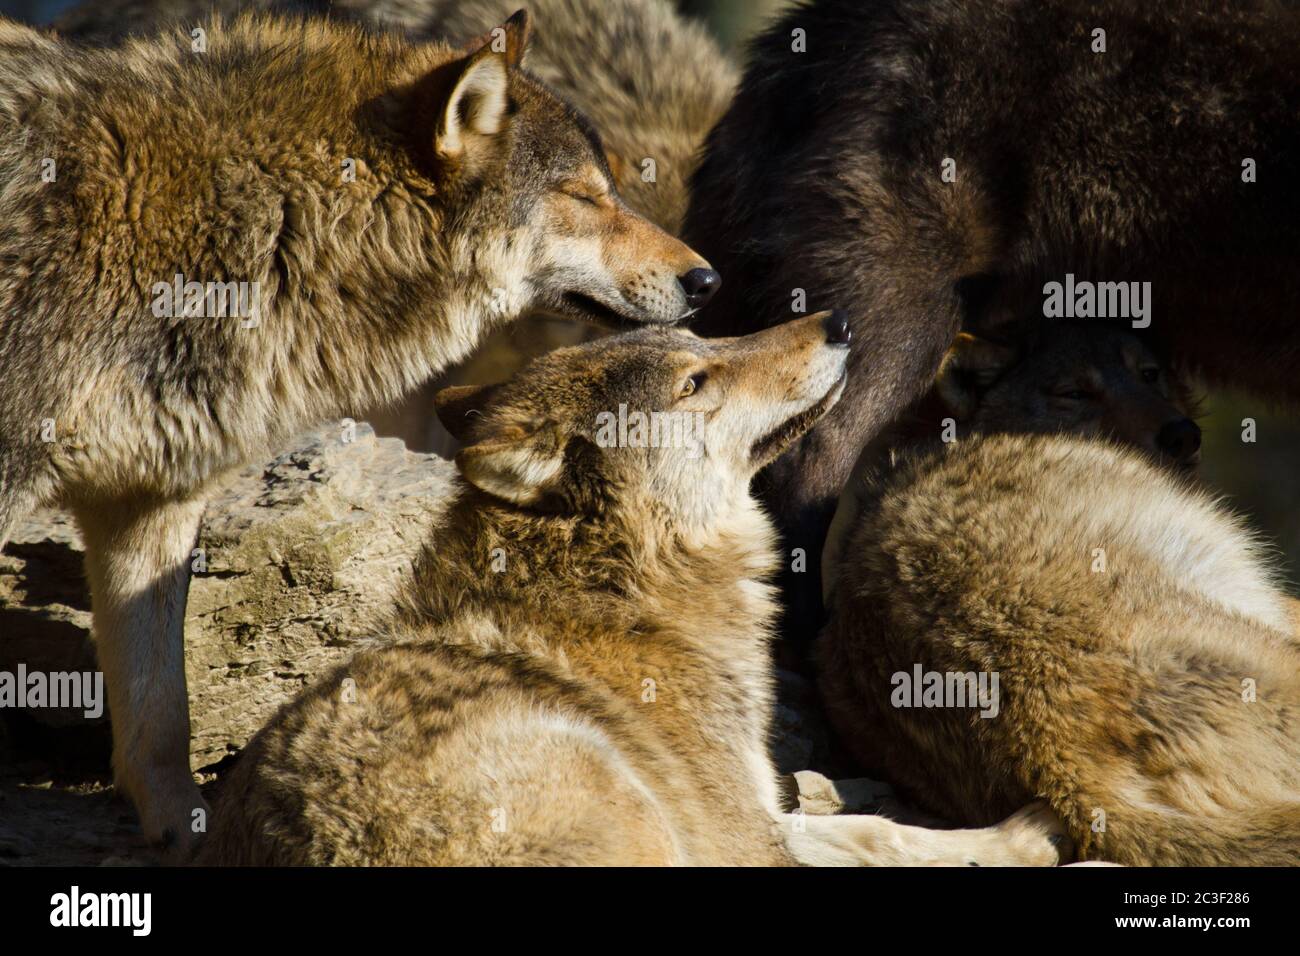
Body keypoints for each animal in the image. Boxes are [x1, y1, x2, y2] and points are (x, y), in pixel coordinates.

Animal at [0, 9, 717, 853]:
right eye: (583, 195)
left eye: (610, 191)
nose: (707, 279)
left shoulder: (150, 502)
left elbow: (161, 717)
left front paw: (189, 833)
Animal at [197, 312, 1068, 866]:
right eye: (696, 381)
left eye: (704, 335)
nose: (839, 322)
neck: (628, 589)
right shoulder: (738, 837)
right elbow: (877, 839)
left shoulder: (750, 813)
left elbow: (871, 828)